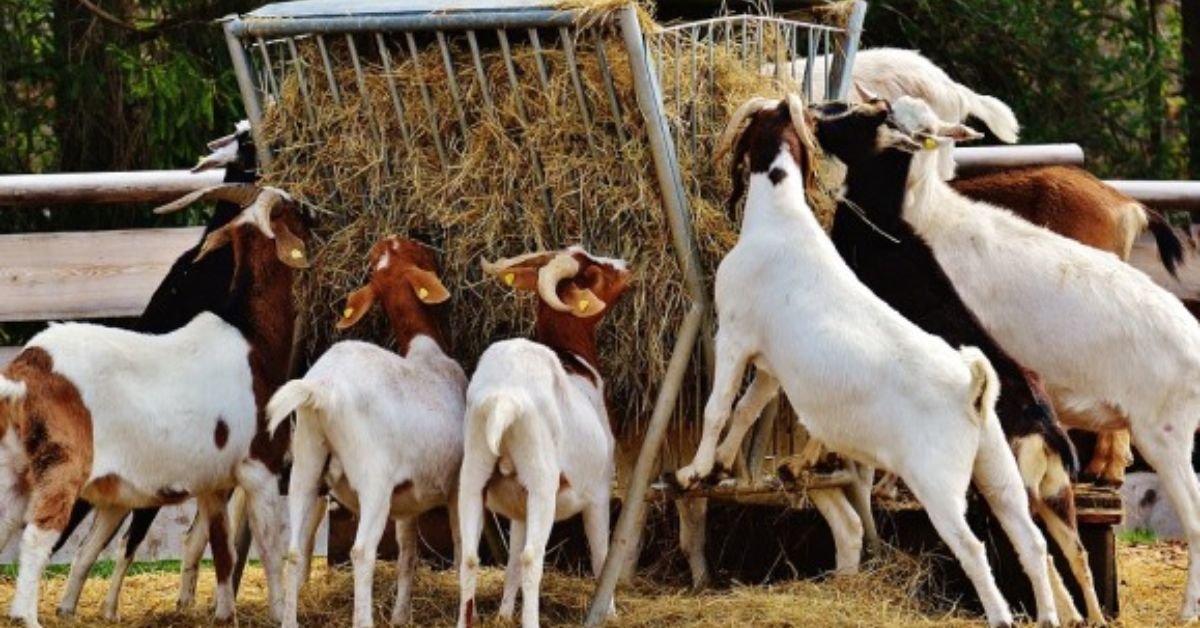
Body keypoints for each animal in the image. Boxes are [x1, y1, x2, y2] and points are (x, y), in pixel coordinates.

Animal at [0, 185, 309, 627]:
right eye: (293, 210)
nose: (315, 214)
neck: (253, 338)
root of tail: (26, 370)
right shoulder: (259, 469)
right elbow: (268, 550)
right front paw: (281, 612)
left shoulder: (211, 482)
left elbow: (222, 552)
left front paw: (224, 615)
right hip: (61, 467)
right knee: (36, 537)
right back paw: (27, 616)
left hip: (15, 467)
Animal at [268, 236, 466, 628]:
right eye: (414, 251)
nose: (430, 247)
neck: (427, 352)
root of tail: (322, 389)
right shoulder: (455, 484)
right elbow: (461, 544)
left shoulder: (408, 496)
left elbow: (407, 553)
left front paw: (401, 615)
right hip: (373, 478)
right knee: (361, 551)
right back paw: (363, 619)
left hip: (306, 464)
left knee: (295, 551)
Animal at [456, 246, 630, 628]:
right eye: (593, 272)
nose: (626, 266)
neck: (576, 363)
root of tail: (504, 397)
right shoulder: (598, 492)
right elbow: (601, 554)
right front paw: (608, 612)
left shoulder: (517, 506)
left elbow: (508, 564)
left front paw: (504, 613)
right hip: (542, 483)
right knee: (532, 558)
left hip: (473, 475)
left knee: (471, 557)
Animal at [670, 95, 1059, 627]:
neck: (782, 216)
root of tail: (971, 385)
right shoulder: (771, 365)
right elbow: (747, 410)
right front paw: (725, 465)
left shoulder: (733, 335)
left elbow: (718, 408)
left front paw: (695, 470)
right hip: (997, 468)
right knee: (1032, 542)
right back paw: (1050, 615)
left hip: (939, 484)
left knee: (974, 548)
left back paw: (1000, 615)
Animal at [805, 97, 1101, 623]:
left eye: (864, 118)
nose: (818, 118)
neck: (883, 228)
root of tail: (1047, 430)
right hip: (1052, 493)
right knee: (1073, 551)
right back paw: (1089, 617)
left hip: (1006, 485)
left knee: (1035, 550)